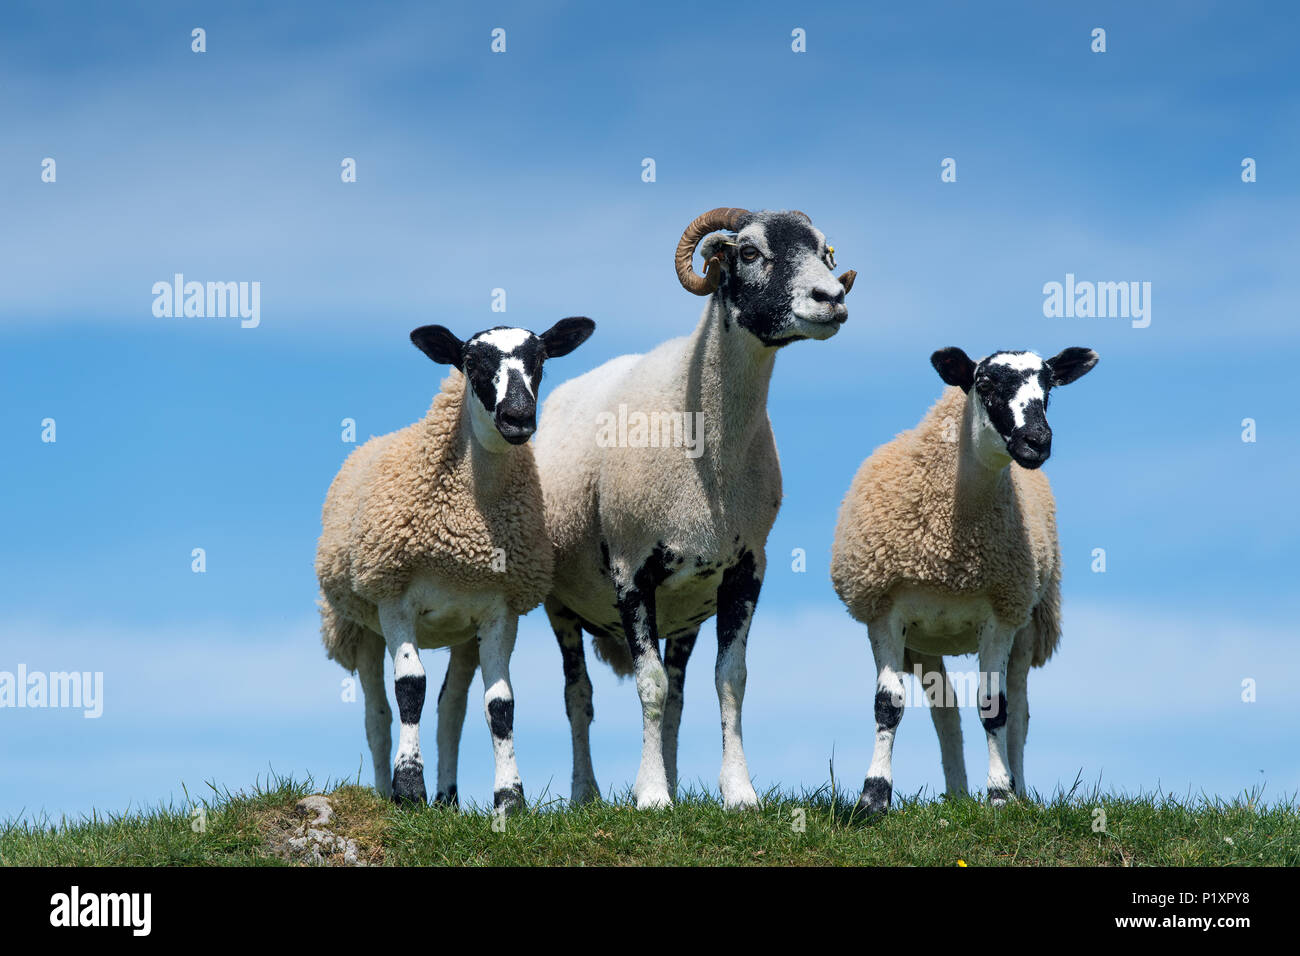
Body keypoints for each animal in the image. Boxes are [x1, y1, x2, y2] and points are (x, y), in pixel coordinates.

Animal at [315, 317, 596, 811]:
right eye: (470, 360)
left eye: (541, 358)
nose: (518, 416)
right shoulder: (395, 601)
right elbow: (410, 688)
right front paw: (409, 788)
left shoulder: (500, 611)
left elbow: (499, 705)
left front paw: (510, 799)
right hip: (360, 624)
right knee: (377, 713)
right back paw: (386, 791)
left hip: (463, 632)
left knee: (452, 707)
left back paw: (448, 798)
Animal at [533, 207, 857, 809]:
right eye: (749, 252)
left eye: (825, 252)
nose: (831, 299)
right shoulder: (631, 569)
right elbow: (649, 685)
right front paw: (651, 797)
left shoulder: (745, 569)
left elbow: (730, 680)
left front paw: (738, 792)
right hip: (561, 603)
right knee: (578, 695)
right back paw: (586, 793)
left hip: (684, 608)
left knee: (678, 695)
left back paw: (677, 782)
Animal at [829, 345, 1098, 814]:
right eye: (984, 384)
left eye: (1049, 388)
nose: (1037, 441)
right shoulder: (885, 611)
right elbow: (888, 706)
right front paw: (873, 798)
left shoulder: (1001, 616)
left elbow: (994, 708)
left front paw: (1000, 794)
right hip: (923, 642)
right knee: (945, 710)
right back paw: (956, 793)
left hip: (1027, 625)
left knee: (1019, 712)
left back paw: (1018, 788)